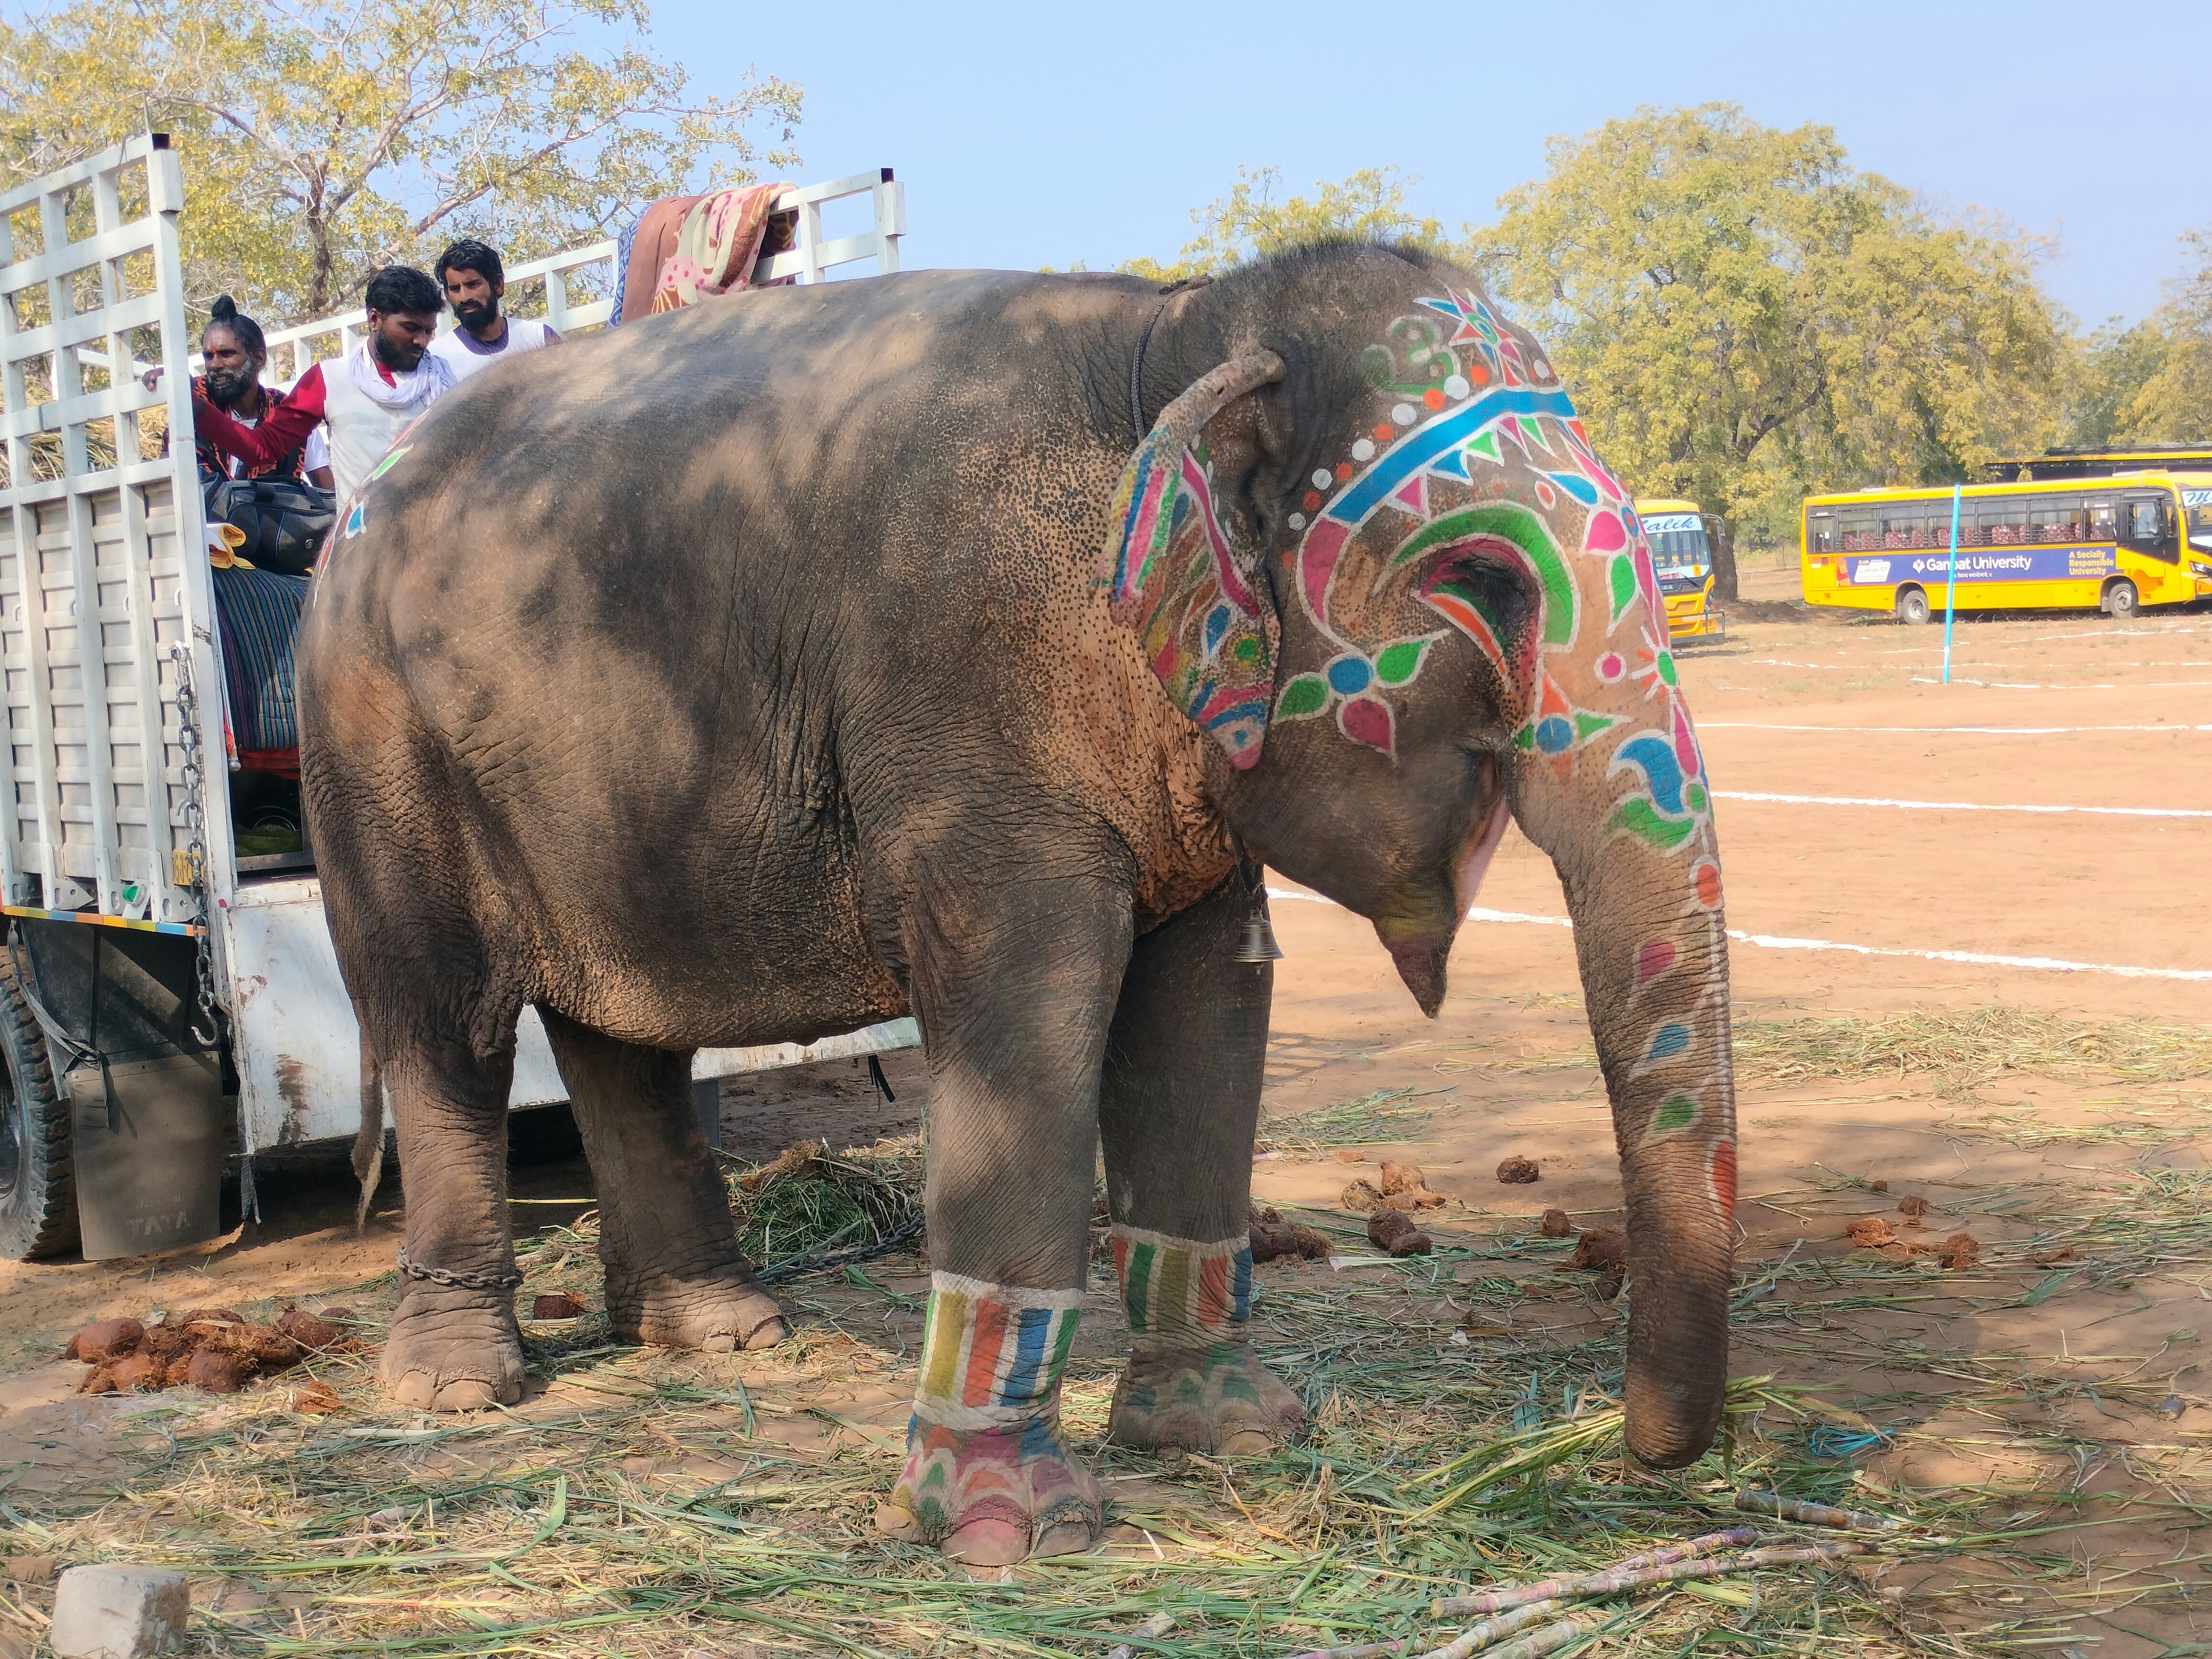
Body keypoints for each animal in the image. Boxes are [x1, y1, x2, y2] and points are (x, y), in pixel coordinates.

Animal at [297, 240, 1736, 1567]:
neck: (1183, 326)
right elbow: (1032, 1000)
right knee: (445, 1025)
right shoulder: (968, 700)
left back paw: (727, 1337)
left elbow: (1208, 1007)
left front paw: (1232, 1436)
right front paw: (1011, 1528)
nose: (1634, 1451)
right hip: (371, 741)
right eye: (1485, 583)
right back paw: (461, 1387)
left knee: (620, 1038)